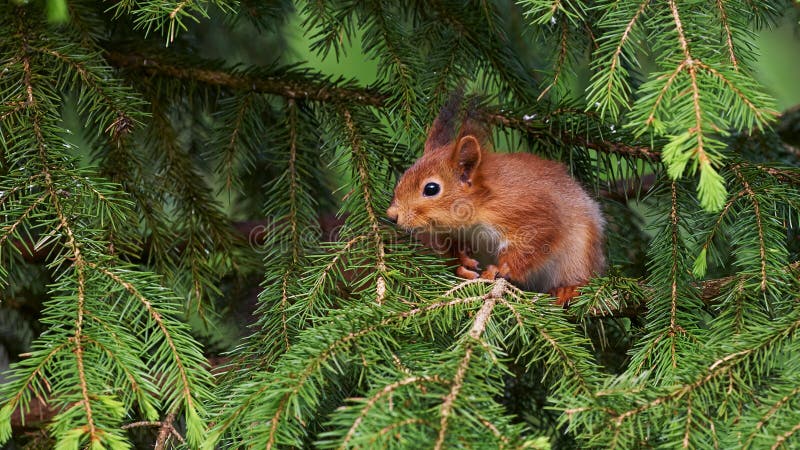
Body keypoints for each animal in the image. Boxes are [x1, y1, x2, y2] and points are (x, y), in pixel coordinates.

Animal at [386, 96, 606, 305]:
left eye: (431, 189)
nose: (392, 215)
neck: (481, 207)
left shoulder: (531, 212)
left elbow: (534, 244)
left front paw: (501, 269)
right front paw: (462, 263)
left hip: (579, 254)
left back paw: (567, 289)